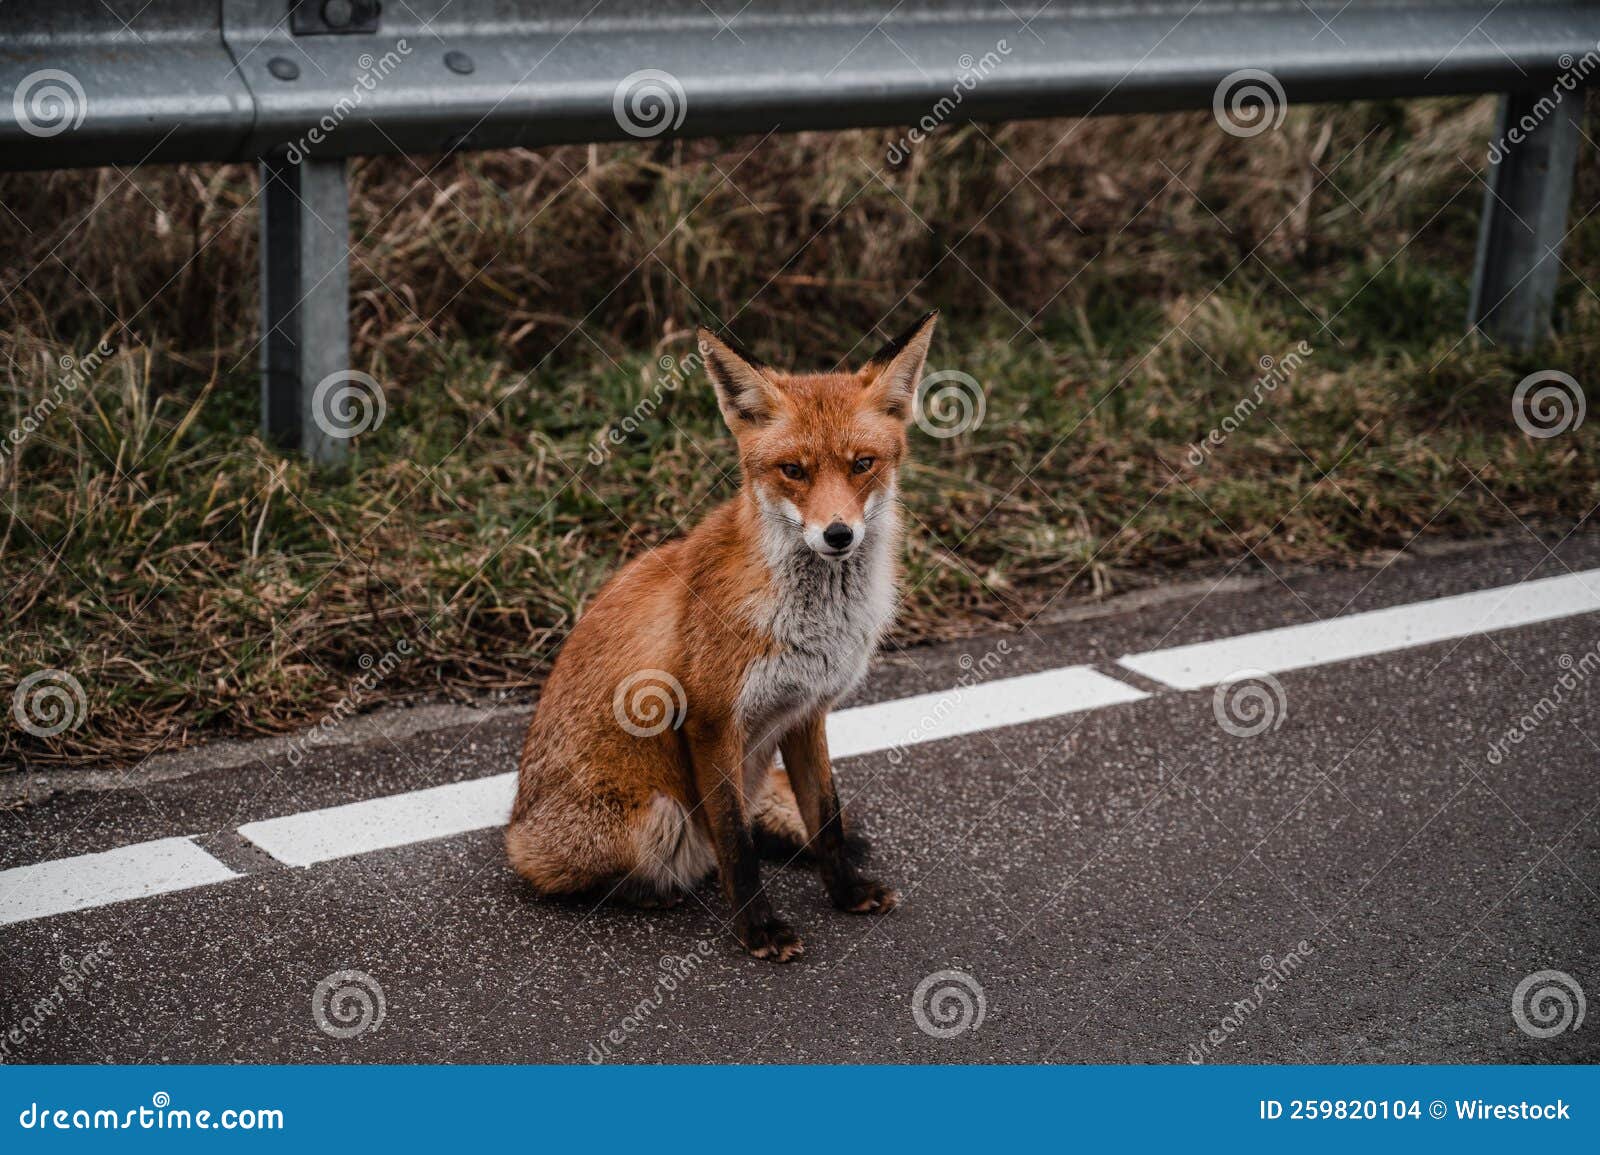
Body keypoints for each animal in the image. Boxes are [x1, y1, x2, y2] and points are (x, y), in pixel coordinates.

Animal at [506, 310, 938, 961]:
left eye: (862, 464)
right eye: (793, 470)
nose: (838, 535)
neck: (814, 619)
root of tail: (515, 825)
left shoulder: (806, 712)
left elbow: (827, 820)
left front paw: (845, 892)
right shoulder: (710, 720)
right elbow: (737, 843)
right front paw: (757, 929)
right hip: (653, 818)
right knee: (592, 873)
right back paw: (649, 893)